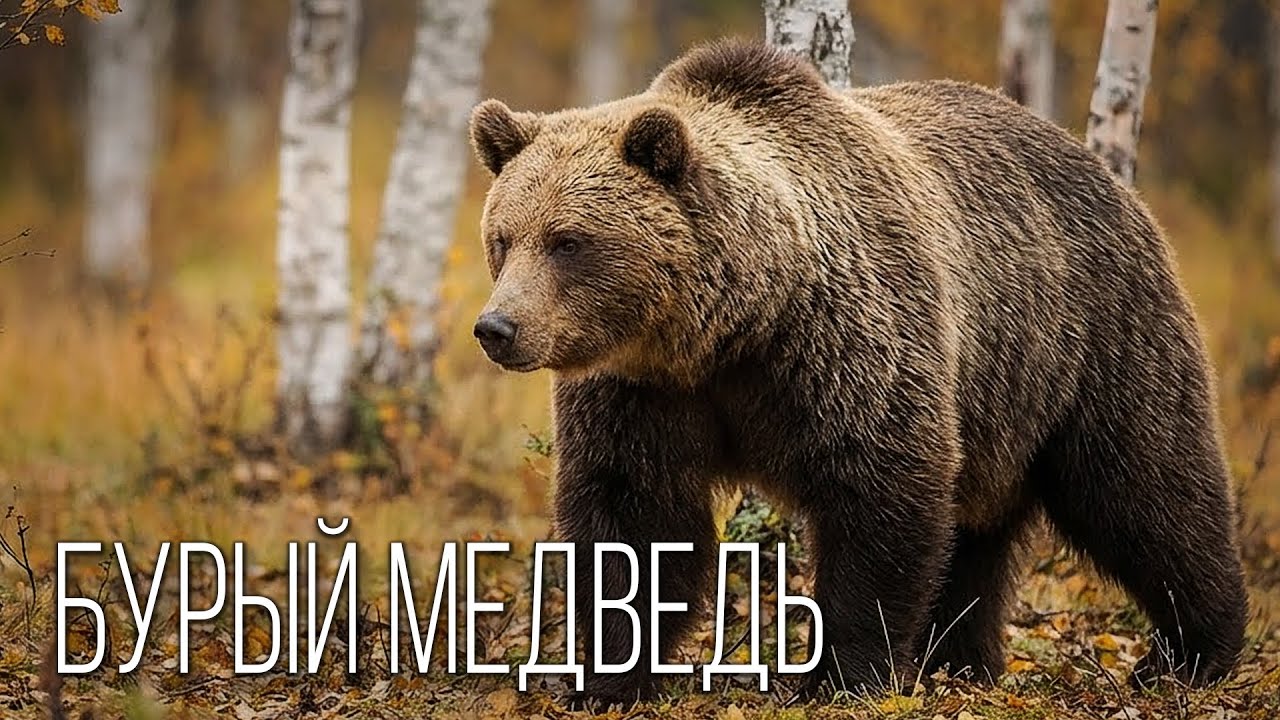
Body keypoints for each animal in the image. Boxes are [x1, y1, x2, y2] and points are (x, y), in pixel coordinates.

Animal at [467, 39, 1248, 703]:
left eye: (569, 241)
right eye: (503, 237)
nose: (497, 328)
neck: (729, 329)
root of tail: (1102, 171)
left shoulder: (846, 341)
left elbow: (878, 488)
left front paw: (842, 677)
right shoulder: (640, 390)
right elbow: (631, 515)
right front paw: (606, 678)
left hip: (1091, 336)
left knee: (1146, 484)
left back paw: (1189, 654)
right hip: (1000, 399)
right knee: (979, 530)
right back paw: (959, 660)